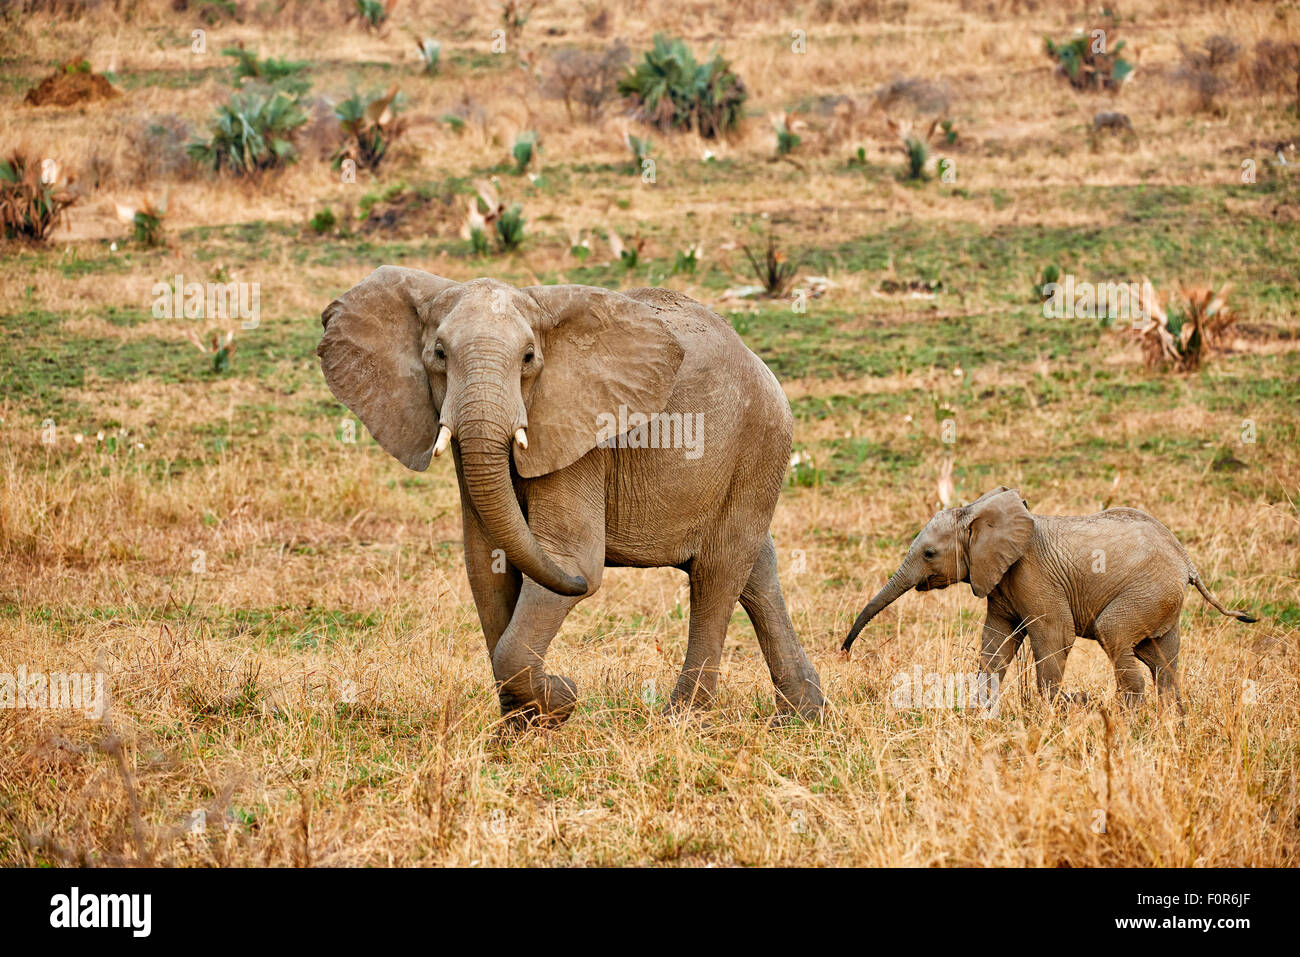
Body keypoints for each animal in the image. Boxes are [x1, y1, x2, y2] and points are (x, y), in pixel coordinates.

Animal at [318, 266, 824, 727]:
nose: (568, 682)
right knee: (755, 569)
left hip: (759, 443)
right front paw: (523, 726)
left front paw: (558, 701)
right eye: (439, 354)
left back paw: (681, 722)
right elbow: (488, 566)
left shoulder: (580, 434)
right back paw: (801, 716)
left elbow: (569, 557)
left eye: (528, 358)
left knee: (717, 573)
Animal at [841, 487, 1256, 710]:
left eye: (929, 554)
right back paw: (1171, 724)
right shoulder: (1001, 580)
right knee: (1162, 661)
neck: (979, 514)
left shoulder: (1031, 574)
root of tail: (1186, 560)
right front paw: (981, 713)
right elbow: (995, 644)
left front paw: (1055, 712)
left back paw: (1128, 722)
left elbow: (1054, 637)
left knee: (1115, 634)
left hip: (1149, 590)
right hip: (1162, 598)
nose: (844, 652)